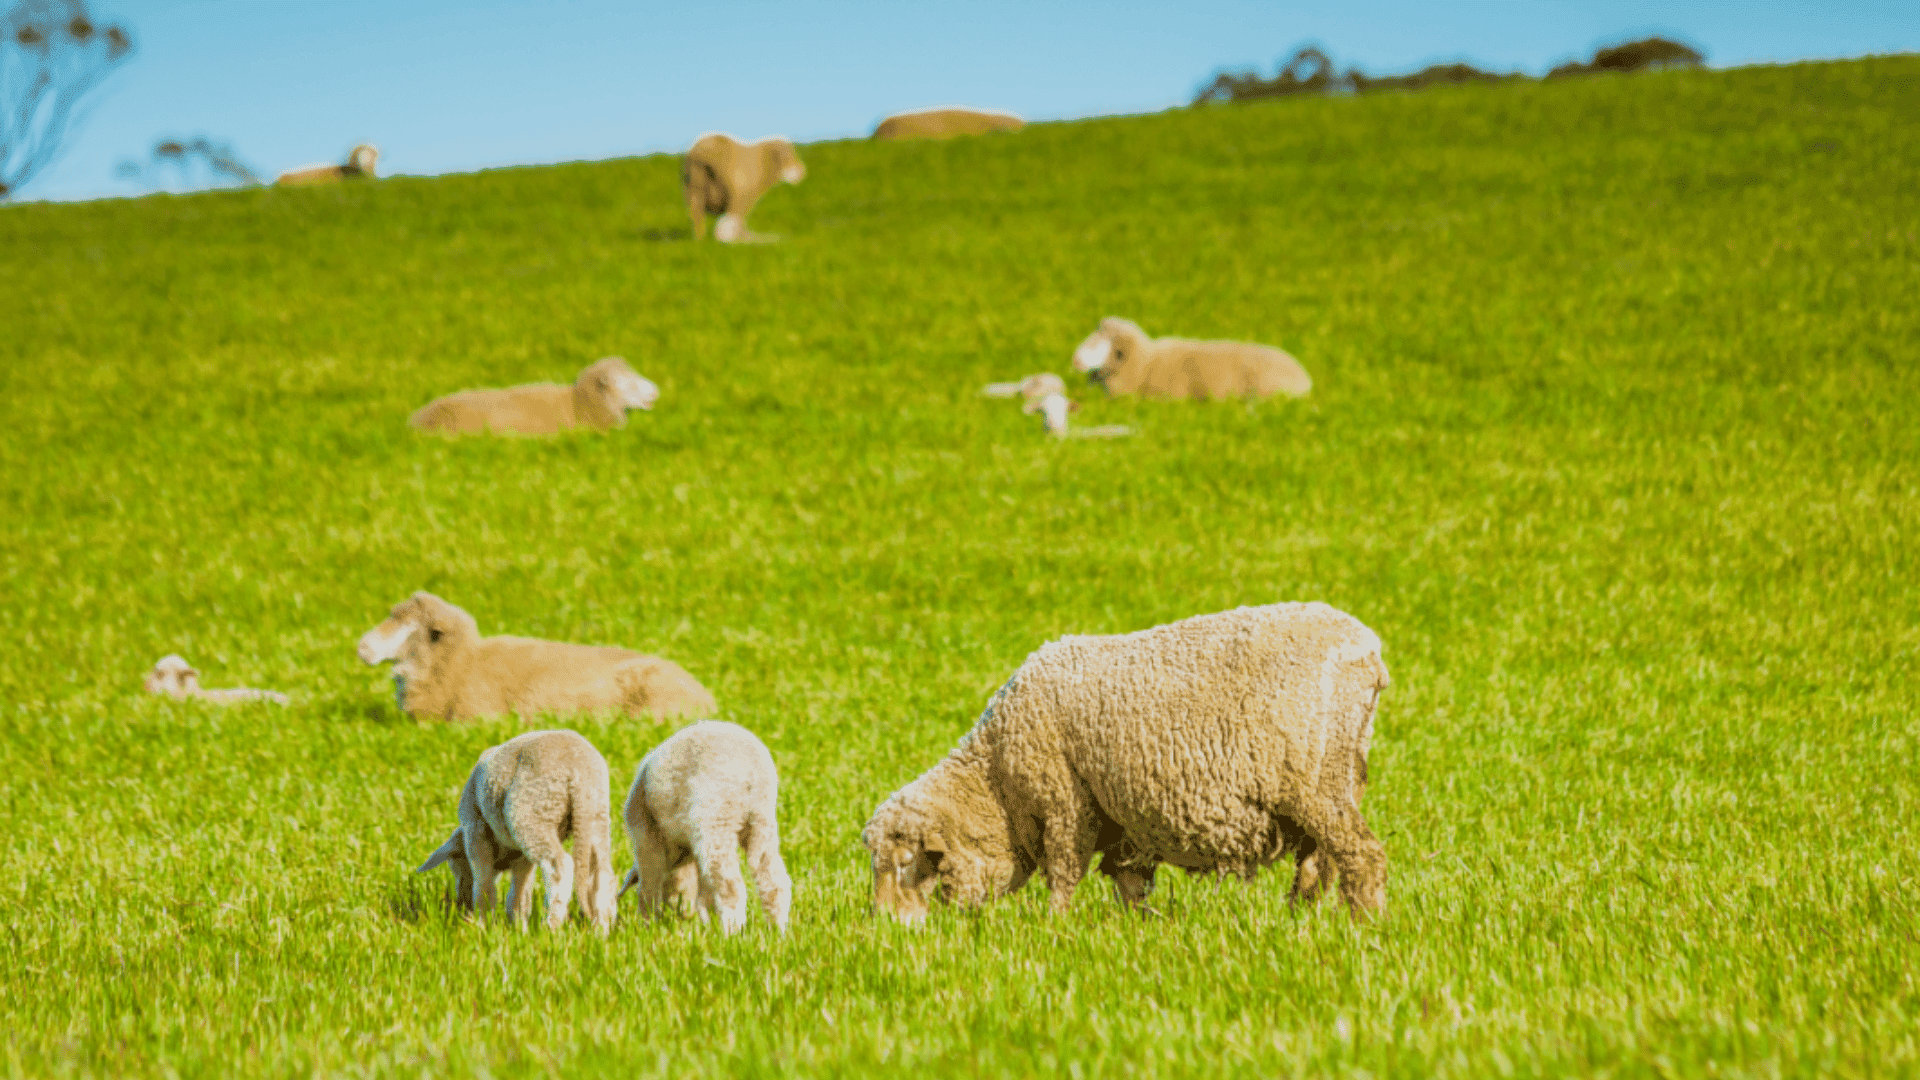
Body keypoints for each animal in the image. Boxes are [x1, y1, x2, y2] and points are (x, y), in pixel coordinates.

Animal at [416, 728, 618, 934]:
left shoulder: (475, 831)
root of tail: (579, 769)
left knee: (559, 866)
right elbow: (519, 893)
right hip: (595, 816)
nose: (462, 906)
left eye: (455, 865)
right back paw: (601, 930)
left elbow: (484, 883)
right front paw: (519, 928)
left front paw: (483, 923)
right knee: (602, 873)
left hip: (532, 812)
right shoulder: (521, 857)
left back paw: (551, 927)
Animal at [617, 720, 791, 934]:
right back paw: (777, 931)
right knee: (773, 881)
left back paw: (731, 933)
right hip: (761, 822)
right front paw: (704, 922)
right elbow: (702, 890)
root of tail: (754, 774)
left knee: (731, 886)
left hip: (716, 818)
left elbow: (649, 884)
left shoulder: (646, 835)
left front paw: (648, 924)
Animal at [861, 602, 1390, 925]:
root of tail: (1367, 650)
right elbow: (1129, 880)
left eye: (906, 863)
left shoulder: (1066, 802)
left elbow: (1064, 873)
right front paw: (1140, 929)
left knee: (1363, 856)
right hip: (1340, 780)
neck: (997, 786)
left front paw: (1055, 930)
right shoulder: (1127, 818)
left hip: (1315, 781)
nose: (889, 930)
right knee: (1319, 864)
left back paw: (1365, 928)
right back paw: (1299, 922)